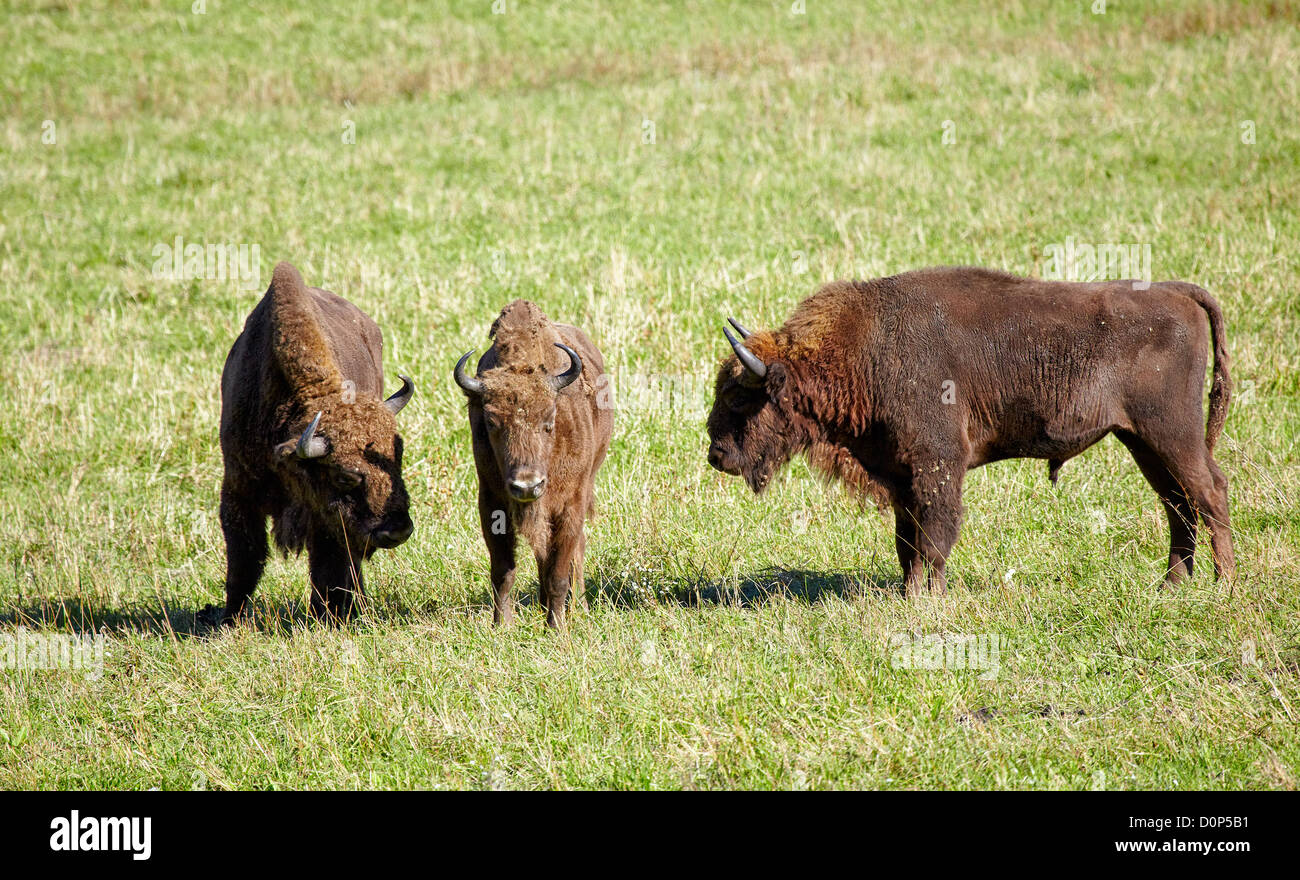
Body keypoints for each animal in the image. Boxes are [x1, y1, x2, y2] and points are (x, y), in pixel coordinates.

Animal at [219, 261, 414, 623]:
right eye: (345, 476)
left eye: (398, 459)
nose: (397, 531)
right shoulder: (238, 489)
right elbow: (243, 562)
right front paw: (229, 620)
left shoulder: (324, 518)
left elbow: (329, 567)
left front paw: (331, 616)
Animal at [455, 300, 613, 628]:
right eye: (491, 422)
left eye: (549, 421)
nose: (527, 485)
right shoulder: (491, 502)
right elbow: (503, 571)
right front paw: (502, 626)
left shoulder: (570, 505)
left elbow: (559, 571)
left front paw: (557, 626)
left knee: (575, 551)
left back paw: (577, 608)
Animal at [707, 267, 1233, 596]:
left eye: (739, 398)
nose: (716, 454)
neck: (863, 350)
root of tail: (1175, 291)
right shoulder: (902, 477)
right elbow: (907, 540)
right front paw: (910, 594)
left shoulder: (937, 464)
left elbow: (934, 537)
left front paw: (930, 598)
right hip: (1141, 440)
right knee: (1177, 502)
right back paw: (1170, 584)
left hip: (1171, 431)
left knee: (1209, 491)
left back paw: (1223, 582)